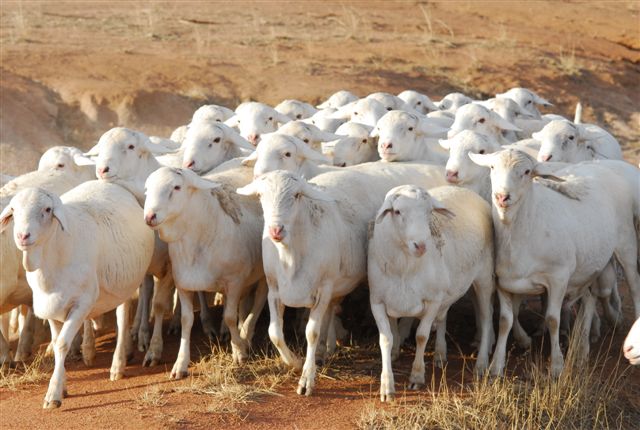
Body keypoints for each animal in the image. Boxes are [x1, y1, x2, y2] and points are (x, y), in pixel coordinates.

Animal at [0, 181, 154, 408]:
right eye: (13, 210)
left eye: (47, 209)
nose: (22, 236)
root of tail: (106, 183)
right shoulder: (50, 306)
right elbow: (56, 342)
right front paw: (62, 386)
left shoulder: (81, 304)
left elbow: (63, 344)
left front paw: (53, 394)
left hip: (123, 284)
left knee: (122, 318)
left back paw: (118, 364)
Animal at [143, 166, 267, 377]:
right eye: (147, 189)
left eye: (177, 187)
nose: (150, 216)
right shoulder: (183, 283)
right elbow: (186, 320)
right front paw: (180, 364)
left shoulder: (235, 281)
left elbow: (230, 316)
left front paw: (238, 352)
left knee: (259, 299)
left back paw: (245, 334)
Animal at [236, 162, 447, 396]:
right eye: (260, 196)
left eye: (297, 195)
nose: (276, 230)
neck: (292, 252)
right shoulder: (275, 289)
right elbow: (274, 332)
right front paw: (296, 362)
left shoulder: (323, 288)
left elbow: (311, 332)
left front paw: (306, 378)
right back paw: (324, 351)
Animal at [369, 185, 494, 401]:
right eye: (397, 211)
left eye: (429, 212)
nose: (421, 245)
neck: (404, 270)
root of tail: (462, 188)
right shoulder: (378, 301)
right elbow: (386, 338)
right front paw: (386, 385)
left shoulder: (433, 300)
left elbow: (421, 336)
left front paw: (416, 376)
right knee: (443, 316)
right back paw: (440, 353)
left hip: (484, 278)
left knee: (486, 319)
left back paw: (481, 363)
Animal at [469, 149, 640, 377]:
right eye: (492, 167)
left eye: (527, 172)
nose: (502, 197)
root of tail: (602, 165)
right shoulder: (503, 283)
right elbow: (505, 321)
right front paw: (496, 365)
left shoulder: (558, 278)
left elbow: (552, 319)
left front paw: (557, 366)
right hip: (588, 266)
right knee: (589, 300)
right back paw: (582, 349)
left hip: (626, 242)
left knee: (634, 286)